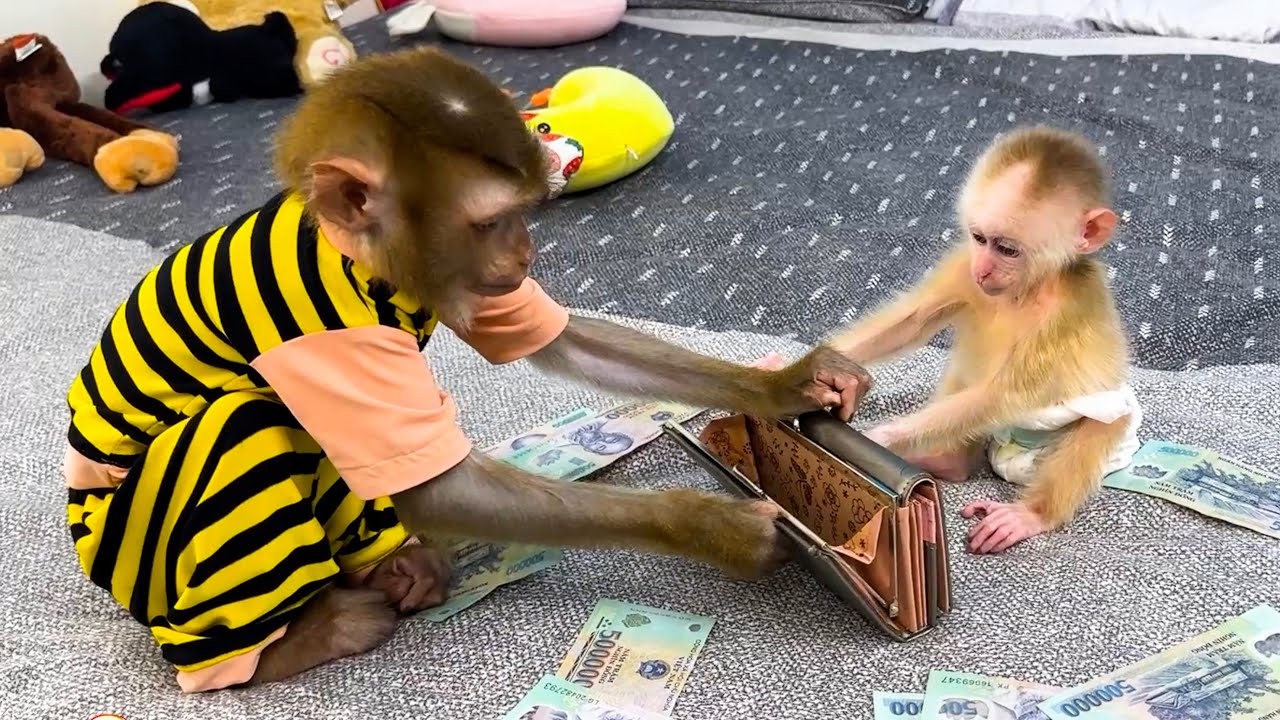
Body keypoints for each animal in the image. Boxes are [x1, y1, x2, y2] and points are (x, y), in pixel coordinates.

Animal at [61, 45, 871, 693]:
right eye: (488, 222)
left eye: (525, 214)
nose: (524, 255)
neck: (362, 261)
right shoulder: (314, 330)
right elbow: (436, 485)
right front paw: (714, 525)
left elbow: (563, 343)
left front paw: (784, 386)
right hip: (136, 559)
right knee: (248, 420)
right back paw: (280, 646)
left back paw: (394, 567)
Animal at [827, 125, 1142, 556]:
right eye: (979, 239)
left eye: (1007, 249)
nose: (984, 270)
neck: (1027, 288)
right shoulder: (964, 263)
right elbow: (914, 320)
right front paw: (807, 369)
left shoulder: (1067, 313)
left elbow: (1002, 394)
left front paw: (878, 439)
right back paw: (948, 462)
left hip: (1109, 423)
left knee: (1096, 424)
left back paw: (1030, 513)